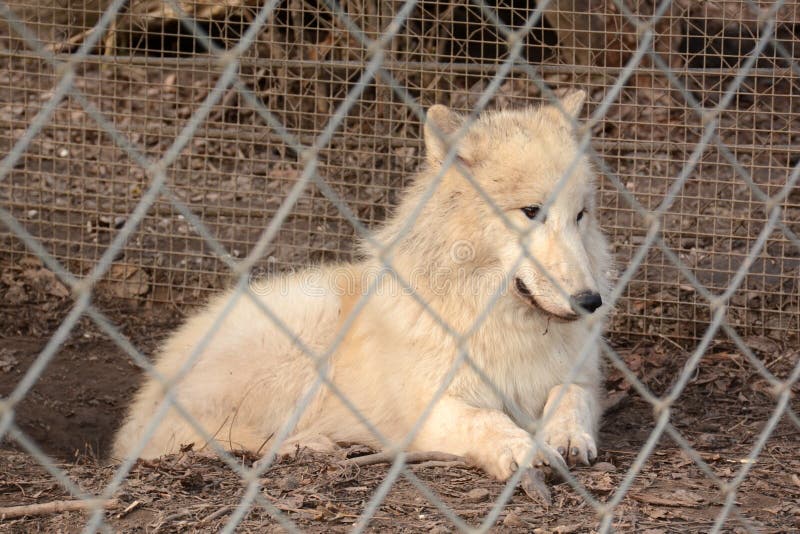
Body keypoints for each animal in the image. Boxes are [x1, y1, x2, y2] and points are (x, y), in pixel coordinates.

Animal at [113, 90, 612, 481]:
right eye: (531, 211)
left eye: (580, 214)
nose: (591, 301)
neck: (502, 319)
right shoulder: (434, 408)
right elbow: (487, 420)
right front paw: (522, 448)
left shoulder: (579, 380)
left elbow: (570, 396)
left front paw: (567, 436)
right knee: (201, 438)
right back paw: (308, 445)